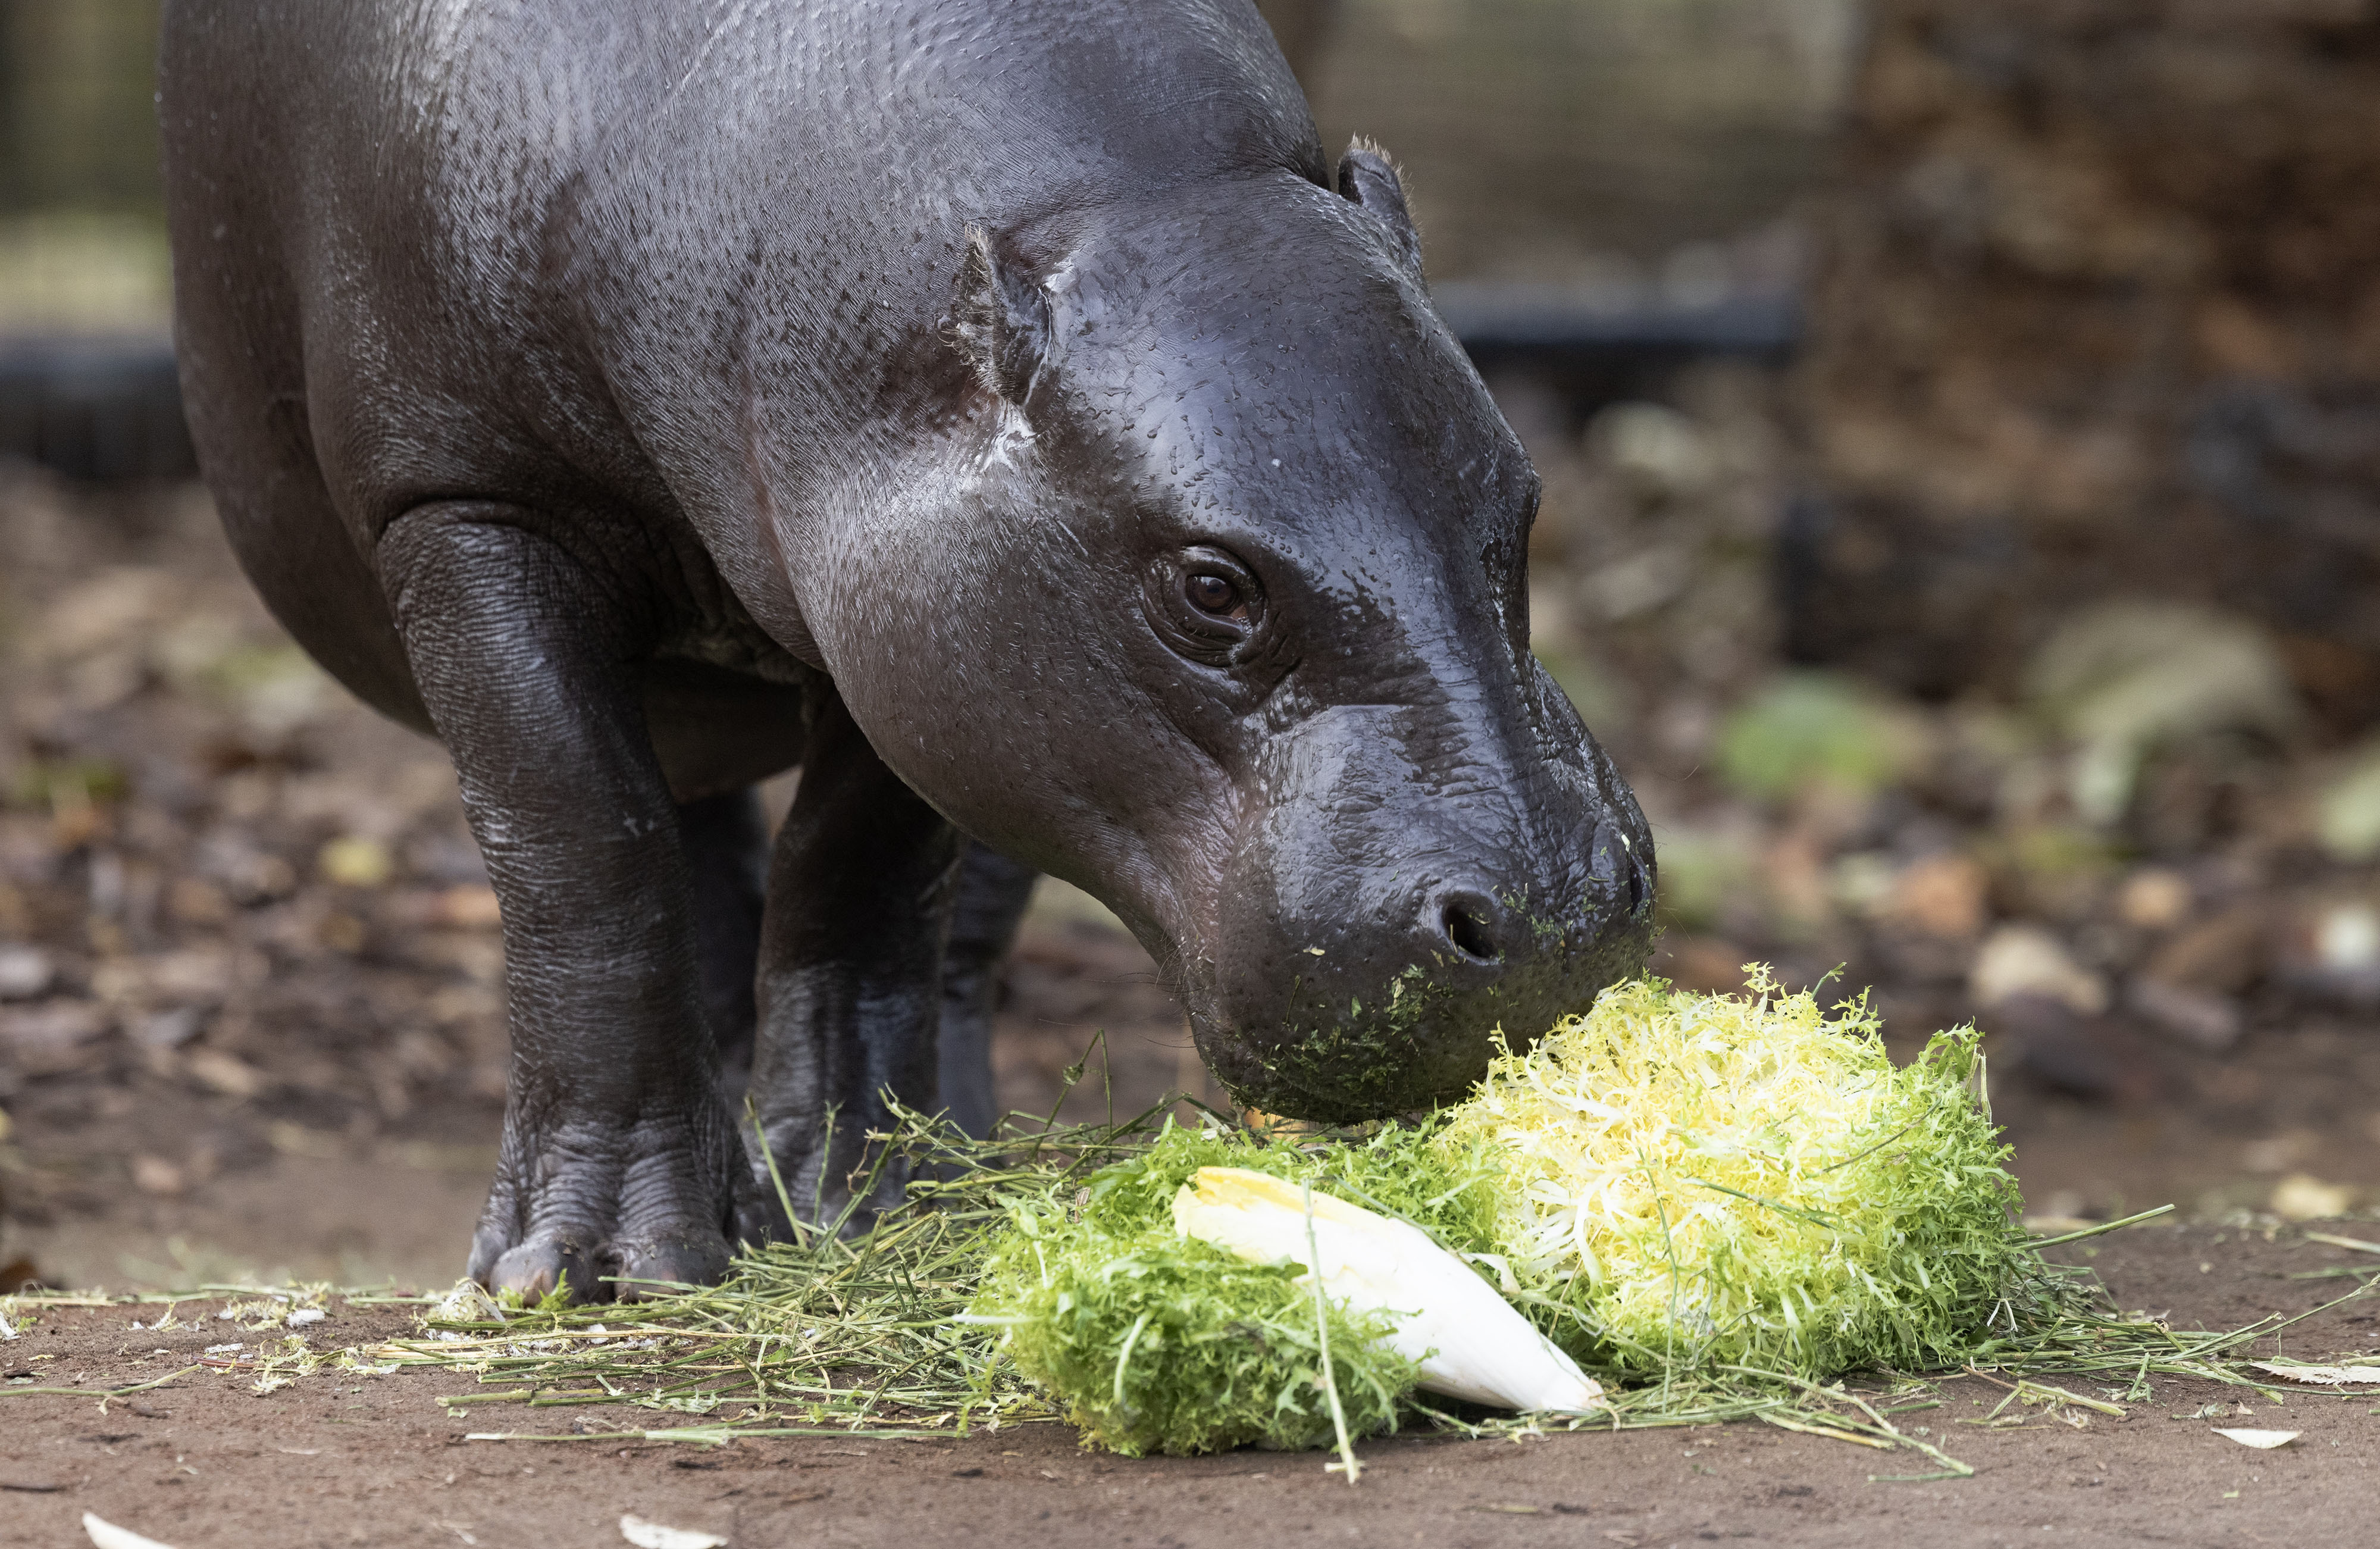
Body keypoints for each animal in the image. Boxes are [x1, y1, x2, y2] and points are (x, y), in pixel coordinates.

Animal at [158, 0, 1654, 1300]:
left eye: (1520, 502)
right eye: (1211, 587)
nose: (1557, 915)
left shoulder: (918, 625)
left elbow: (860, 872)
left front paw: (858, 1204)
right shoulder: (466, 498)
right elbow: (587, 845)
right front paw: (586, 1265)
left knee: (936, 926)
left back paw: (955, 1161)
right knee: (668, 847)